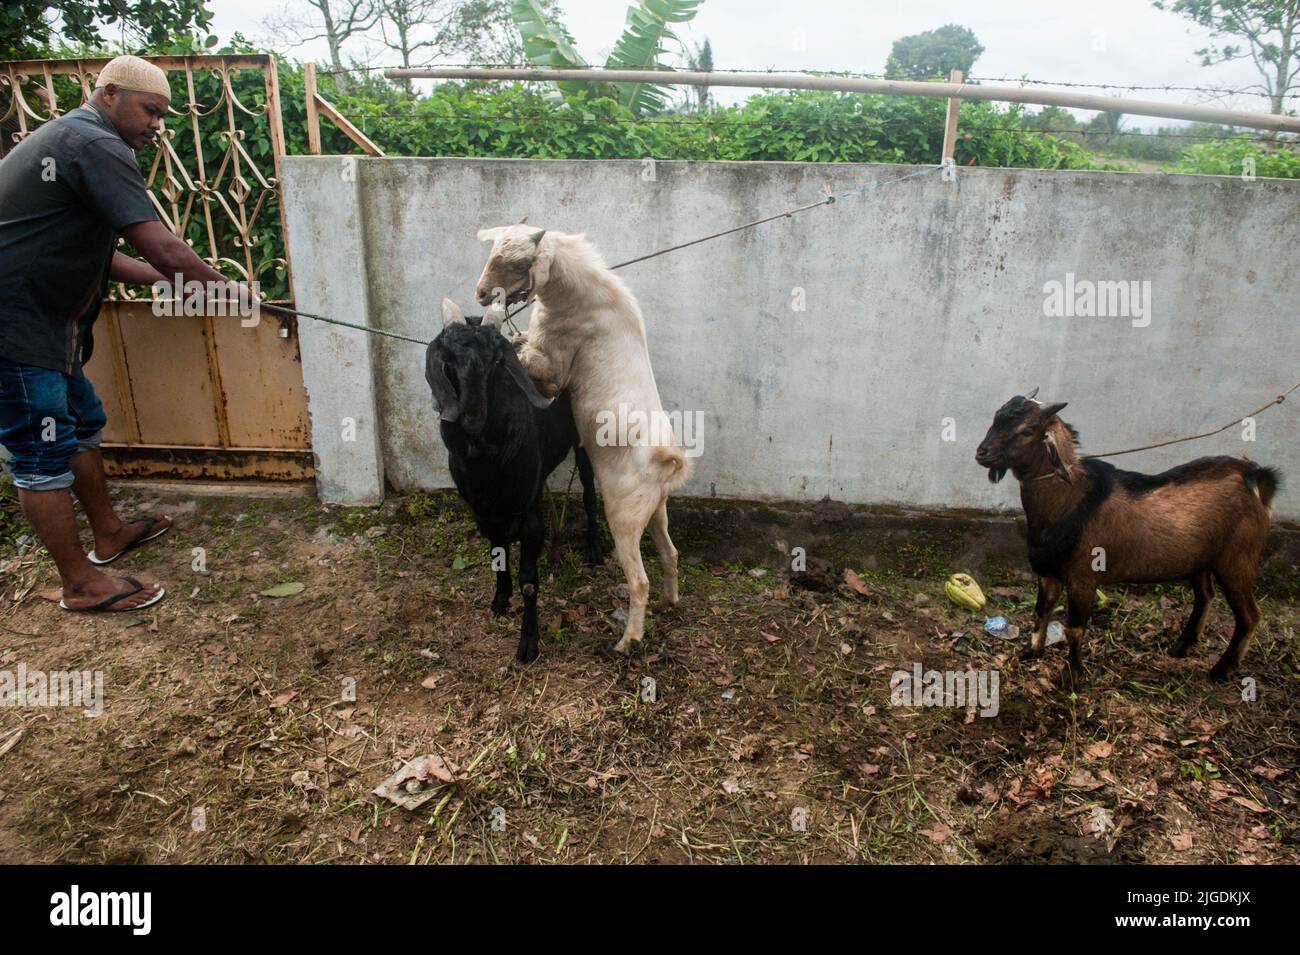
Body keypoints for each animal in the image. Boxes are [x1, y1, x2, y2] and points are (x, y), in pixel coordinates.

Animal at [425, 299, 603, 663]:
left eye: (497, 361)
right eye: (448, 360)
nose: (472, 416)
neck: (484, 460)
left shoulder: (527, 513)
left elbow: (529, 581)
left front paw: (528, 644)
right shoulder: (482, 511)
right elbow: (497, 552)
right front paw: (499, 600)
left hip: (582, 439)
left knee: (589, 493)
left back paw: (594, 549)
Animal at [473, 225, 690, 655]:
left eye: (519, 264)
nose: (482, 294)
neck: (582, 293)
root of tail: (665, 461)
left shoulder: (556, 365)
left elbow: (530, 358)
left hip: (624, 515)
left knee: (639, 581)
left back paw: (628, 640)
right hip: (656, 510)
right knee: (670, 552)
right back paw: (669, 600)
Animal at [975, 391, 1279, 686]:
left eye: (1027, 430)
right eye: (996, 418)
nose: (981, 453)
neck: (1073, 499)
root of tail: (1256, 479)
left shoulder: (1083, 579)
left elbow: (1075, 629)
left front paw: (1071, 677)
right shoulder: (1048, 573)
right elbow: (1041, 612)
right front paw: (1030, 652)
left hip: (1238, 562)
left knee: (1249, 616)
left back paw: (1221, 670)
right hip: (1200, 561)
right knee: (1205, 596)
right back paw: (1181, 646)